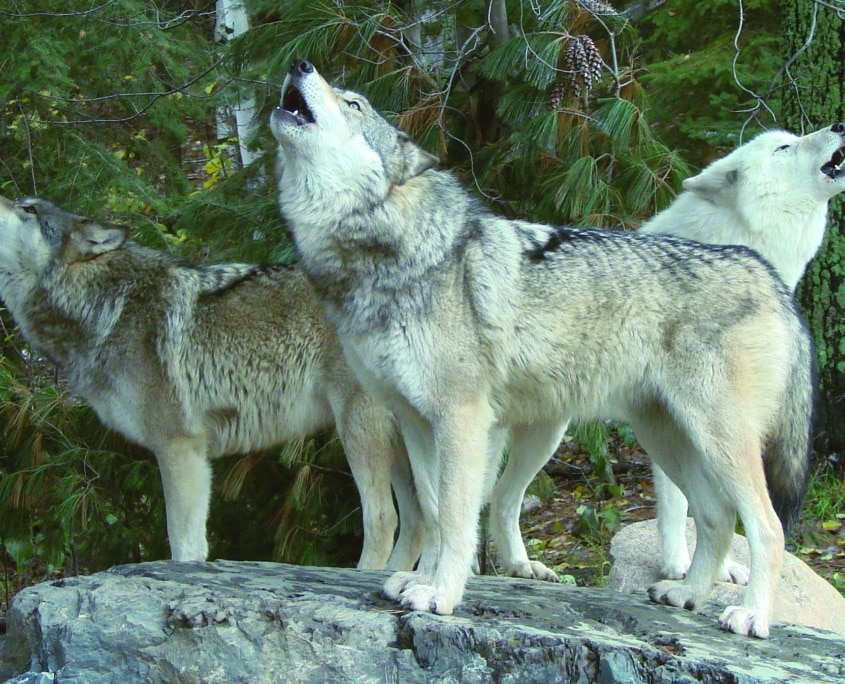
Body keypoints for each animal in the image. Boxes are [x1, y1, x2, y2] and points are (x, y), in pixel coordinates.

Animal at [0, 195, 423, 569]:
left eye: (29, 209)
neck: (105, 306)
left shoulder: (179, 447)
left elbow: (183, 544)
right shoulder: (194, 455)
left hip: (360, 428)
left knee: (384, 518)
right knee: (420, 520)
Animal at [270, 60, 814, 638]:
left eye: (353, 104)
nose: (300, 64)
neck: (390, 251)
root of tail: (768, 274)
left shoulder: (461, 419)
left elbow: (458, 517)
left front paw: (441, 594)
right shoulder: (415, 422)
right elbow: (437, 514)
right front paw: (419, 580)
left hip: (716, 438)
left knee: (767, 526)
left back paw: (753, 615)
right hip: (666, 438)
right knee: (716, 516)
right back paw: (686, 594)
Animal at [640, 125, 844, 585]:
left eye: (793, 136)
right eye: (784, 148)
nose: (839, 125)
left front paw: (722, 567)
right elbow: (679, 500)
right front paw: (679, 566)